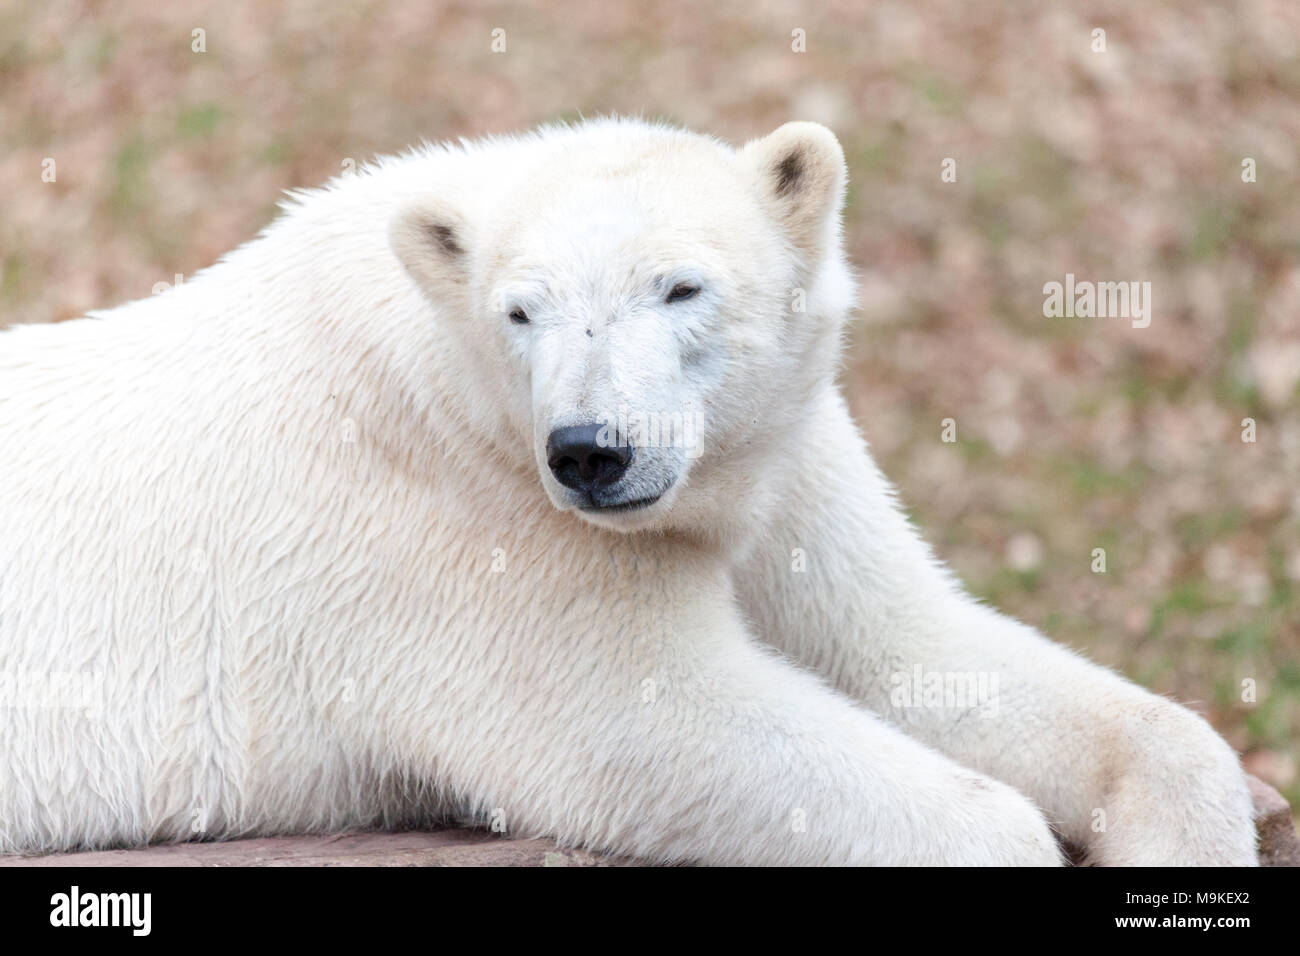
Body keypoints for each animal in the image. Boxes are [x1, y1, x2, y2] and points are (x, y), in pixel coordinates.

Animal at [0, 117, 1257, 865]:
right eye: (521, 310)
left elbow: (909, 647)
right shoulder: (469, 522)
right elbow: (646, 719)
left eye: (681, 287)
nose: (590, 450)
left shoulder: (779, 461)